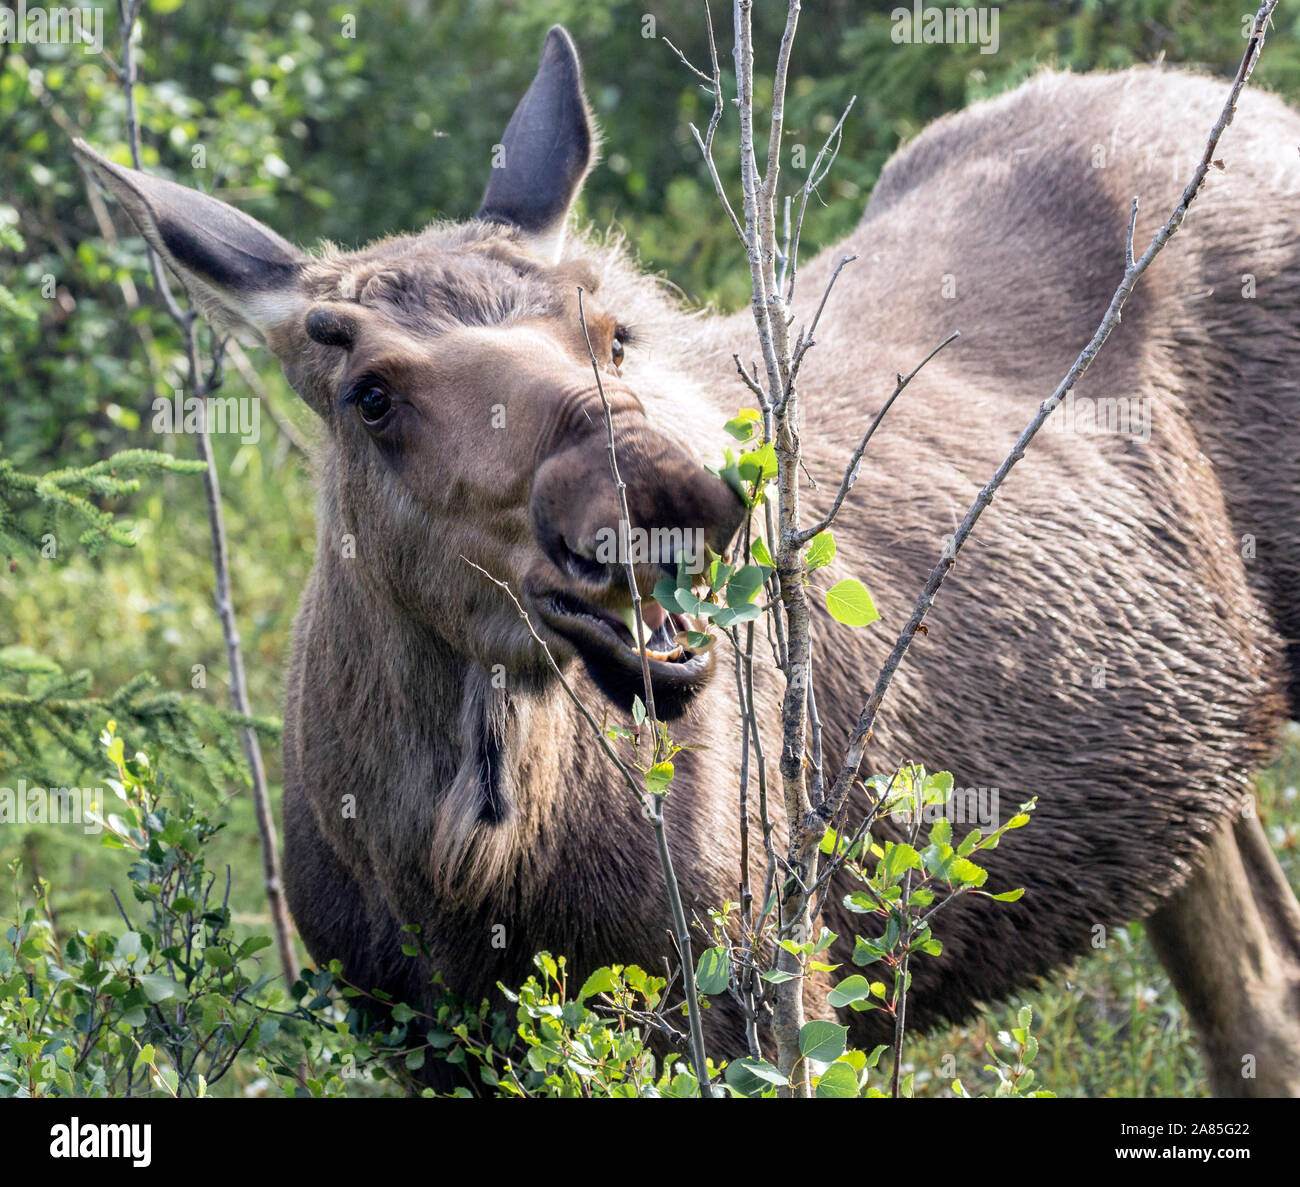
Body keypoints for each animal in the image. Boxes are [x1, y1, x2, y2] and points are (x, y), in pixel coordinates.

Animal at [74, 24, 1300, 1096]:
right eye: (367, 392)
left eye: (609, 330)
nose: (666, 489)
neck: (460, 867)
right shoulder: (418, 1039)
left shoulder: (764, 993)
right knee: (1258, 986)